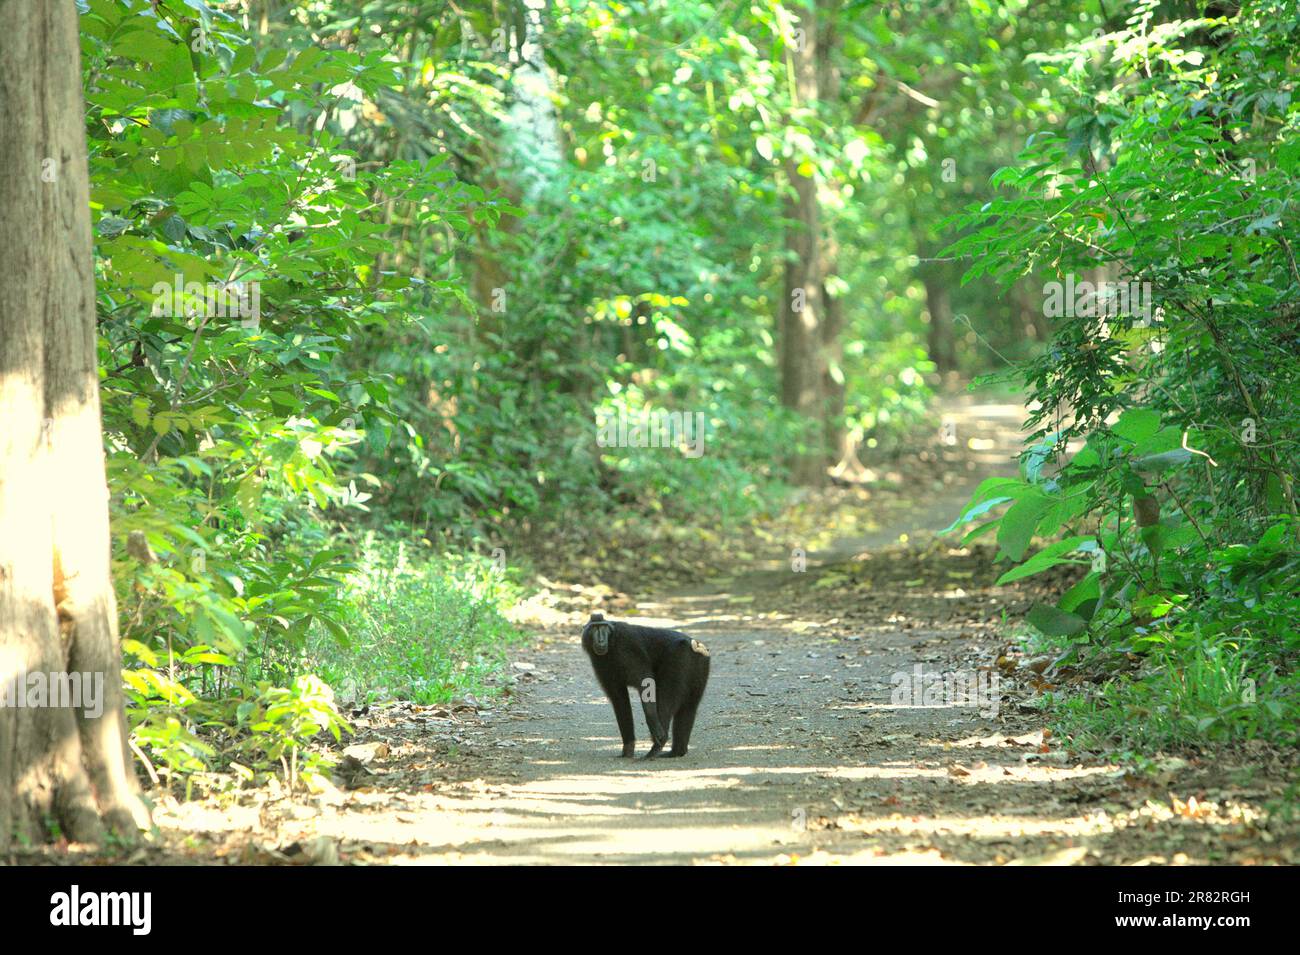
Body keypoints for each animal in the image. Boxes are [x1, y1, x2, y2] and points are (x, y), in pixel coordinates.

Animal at [580, 612, 710, 759]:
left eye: (603, 627)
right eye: (594, 628)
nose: (601, 640)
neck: (613, 642)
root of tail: (695, 645)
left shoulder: (626, 647)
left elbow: (645, 682)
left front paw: (654, 726)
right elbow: (619, 699)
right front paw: (628, 749)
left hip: (680, 659)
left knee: (665, 702)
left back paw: (657, 746)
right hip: (700, 665)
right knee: (689, 707)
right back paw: (677, 752)